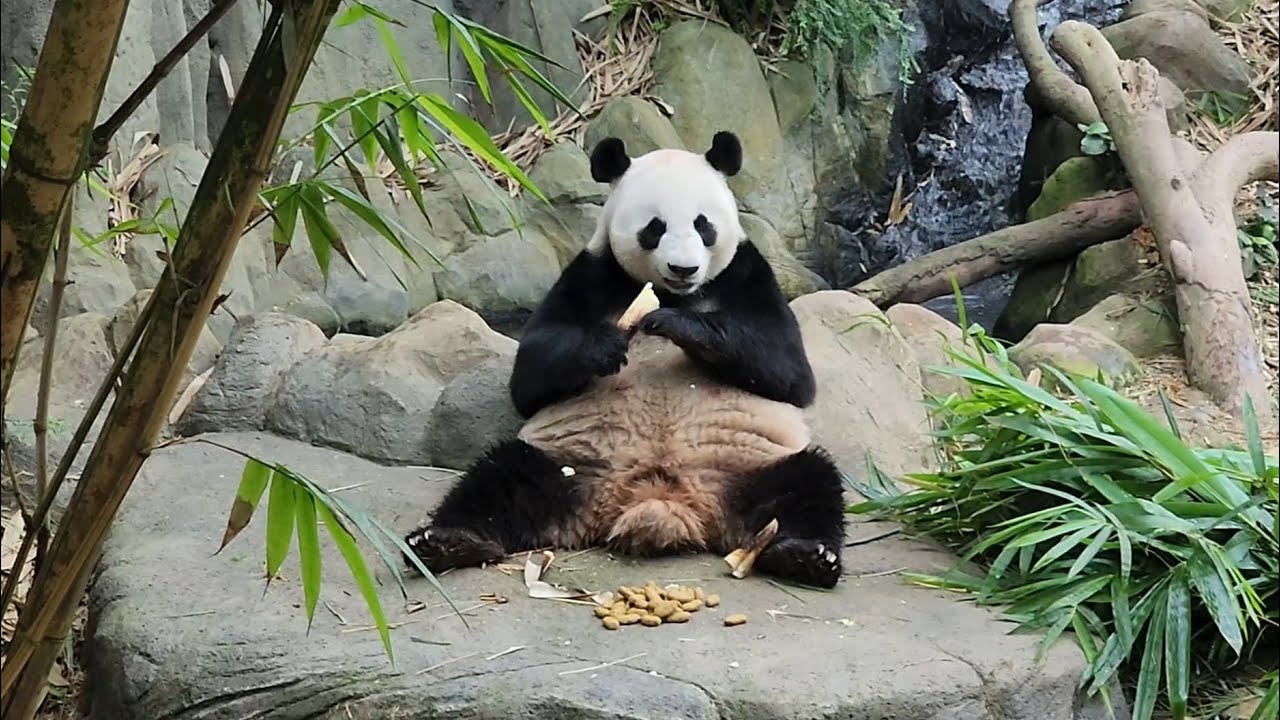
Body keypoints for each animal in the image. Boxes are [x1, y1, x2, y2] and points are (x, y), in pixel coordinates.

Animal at [402, 131, 847, 588]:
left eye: (703, 224)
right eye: (655, 228)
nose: (683, 269)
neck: (673, 293)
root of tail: (659, 500)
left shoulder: (747, 274)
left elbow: (787, 369)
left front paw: (677, 325)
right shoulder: (592, 272)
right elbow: (530, 377)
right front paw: (605, 346)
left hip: (749, 467)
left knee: (807, 485)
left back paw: (806, 555)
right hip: (566, 466)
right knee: (498, 479)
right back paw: (447, 542)